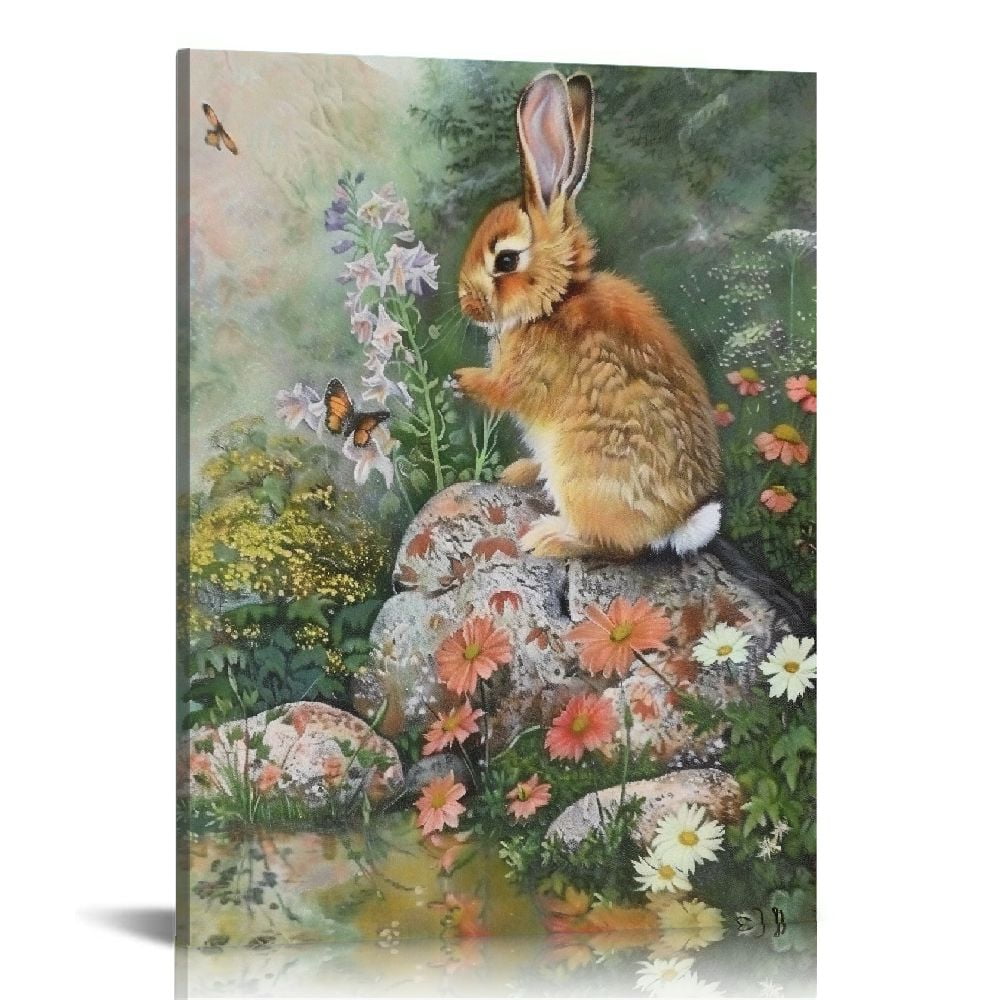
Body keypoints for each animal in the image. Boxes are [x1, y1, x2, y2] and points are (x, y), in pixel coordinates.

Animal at [453, 70, 722, 559]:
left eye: (506, 260)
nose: (468, 306)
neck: (556, 300)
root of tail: (678, 525)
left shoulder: (530, 374)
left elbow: (505, 389)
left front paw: (462, 380)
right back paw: (521, 473)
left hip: (581, 474)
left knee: (614, 545)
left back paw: (549, 538)